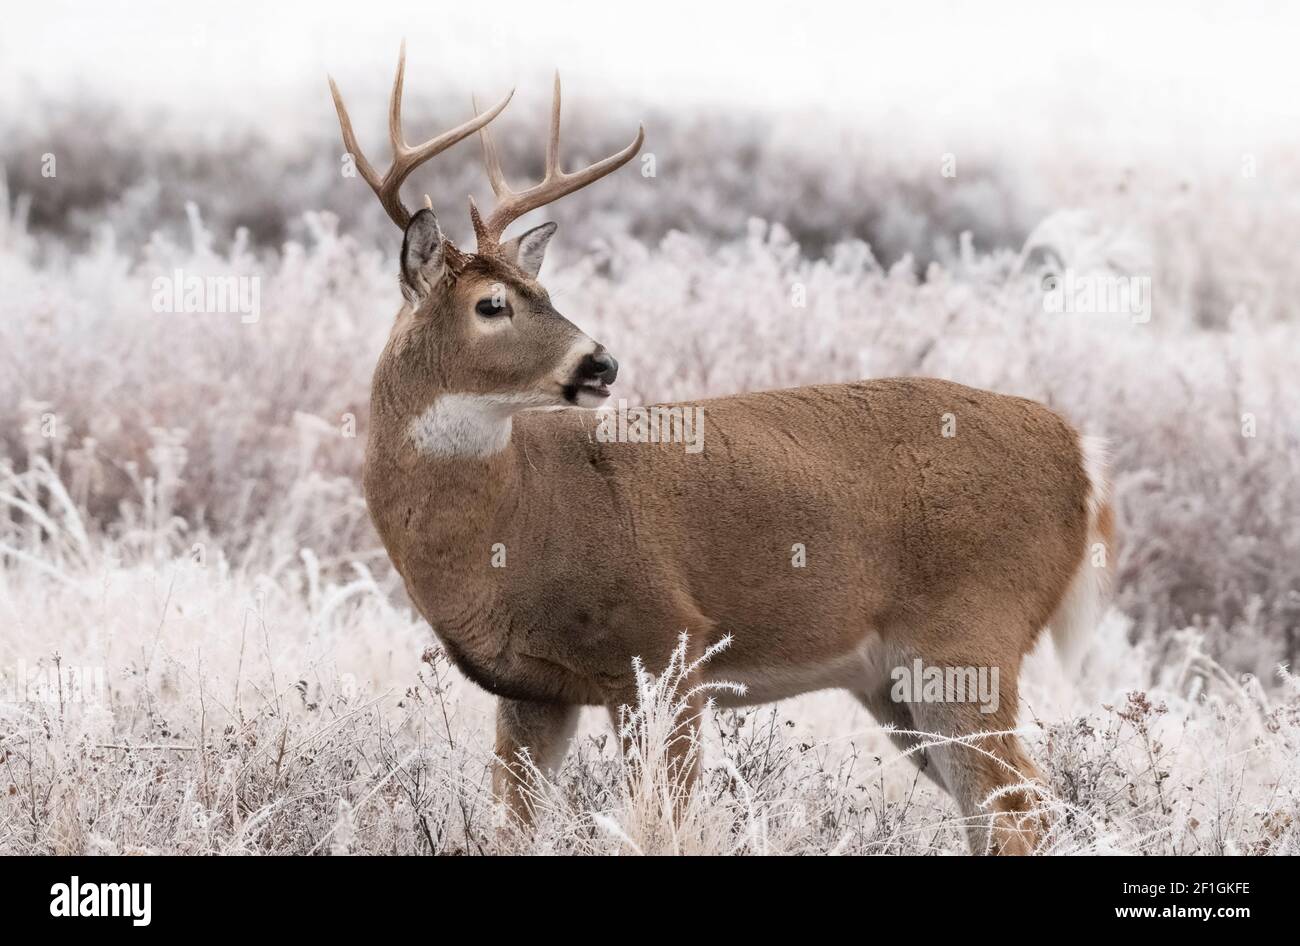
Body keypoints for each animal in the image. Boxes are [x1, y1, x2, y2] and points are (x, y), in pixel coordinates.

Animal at [328, 45, 1114, 855]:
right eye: (493, 304)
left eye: (540, 293)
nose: (601, 363)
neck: (512, 524)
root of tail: (1079, 455)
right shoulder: (532, 689)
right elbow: (511, 826)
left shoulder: (668, 646)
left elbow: (663, 823)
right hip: (895, 678)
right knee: (1007, 808)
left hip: (968, 636)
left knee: (1020, 807)